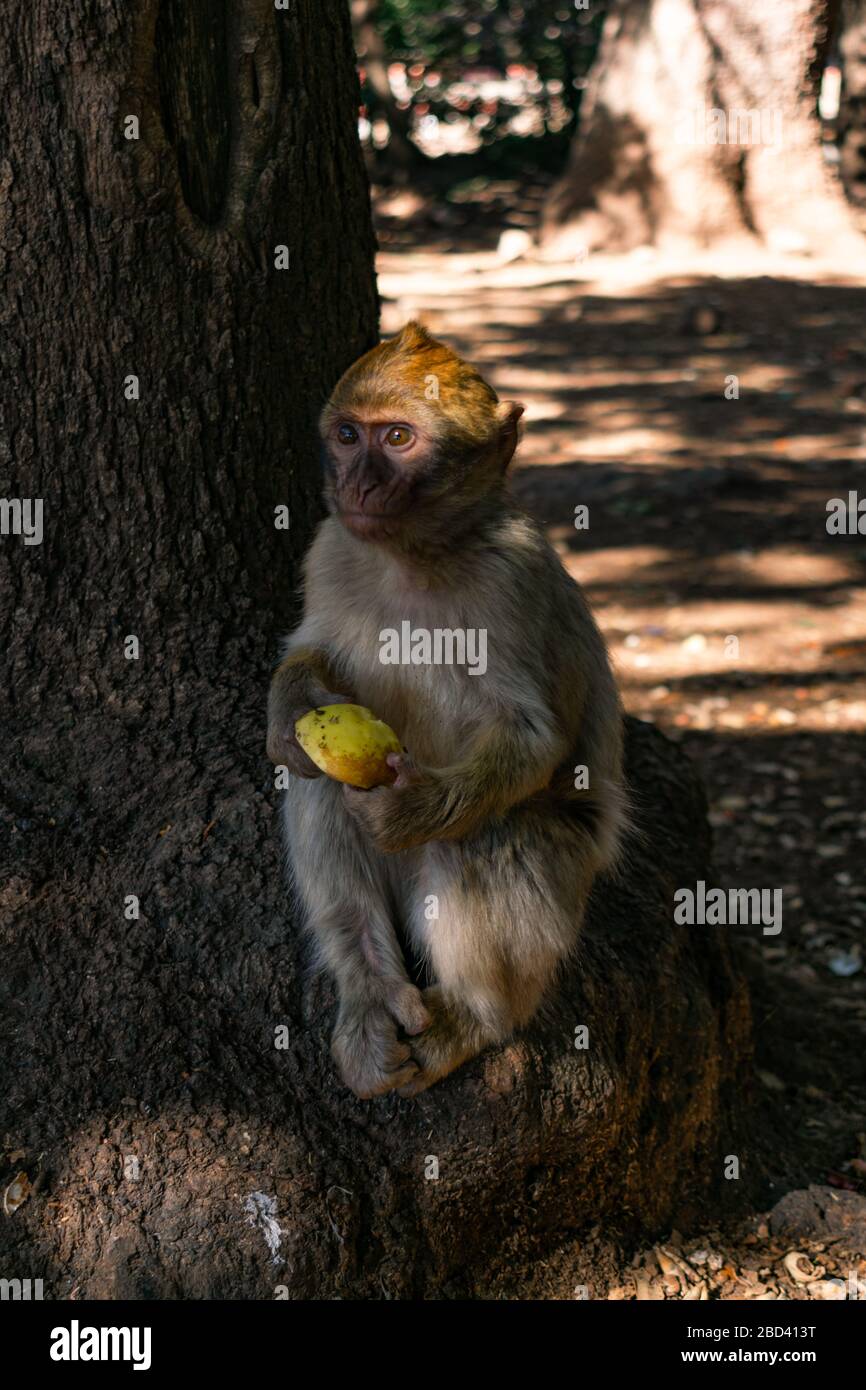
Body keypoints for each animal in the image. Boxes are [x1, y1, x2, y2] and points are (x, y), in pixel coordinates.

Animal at [267, 321, 626, 1099]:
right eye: (348, 435)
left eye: (399, 438)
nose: (358, 482)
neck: (414, 553)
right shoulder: (329, 544)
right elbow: (313, 655)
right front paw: (289, 707)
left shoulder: (511, 577)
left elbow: (530, 737)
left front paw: (405, 809)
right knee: (319, 788)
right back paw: (369, 987)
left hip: (566, 879)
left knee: (488, 833)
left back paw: (473, 1015)